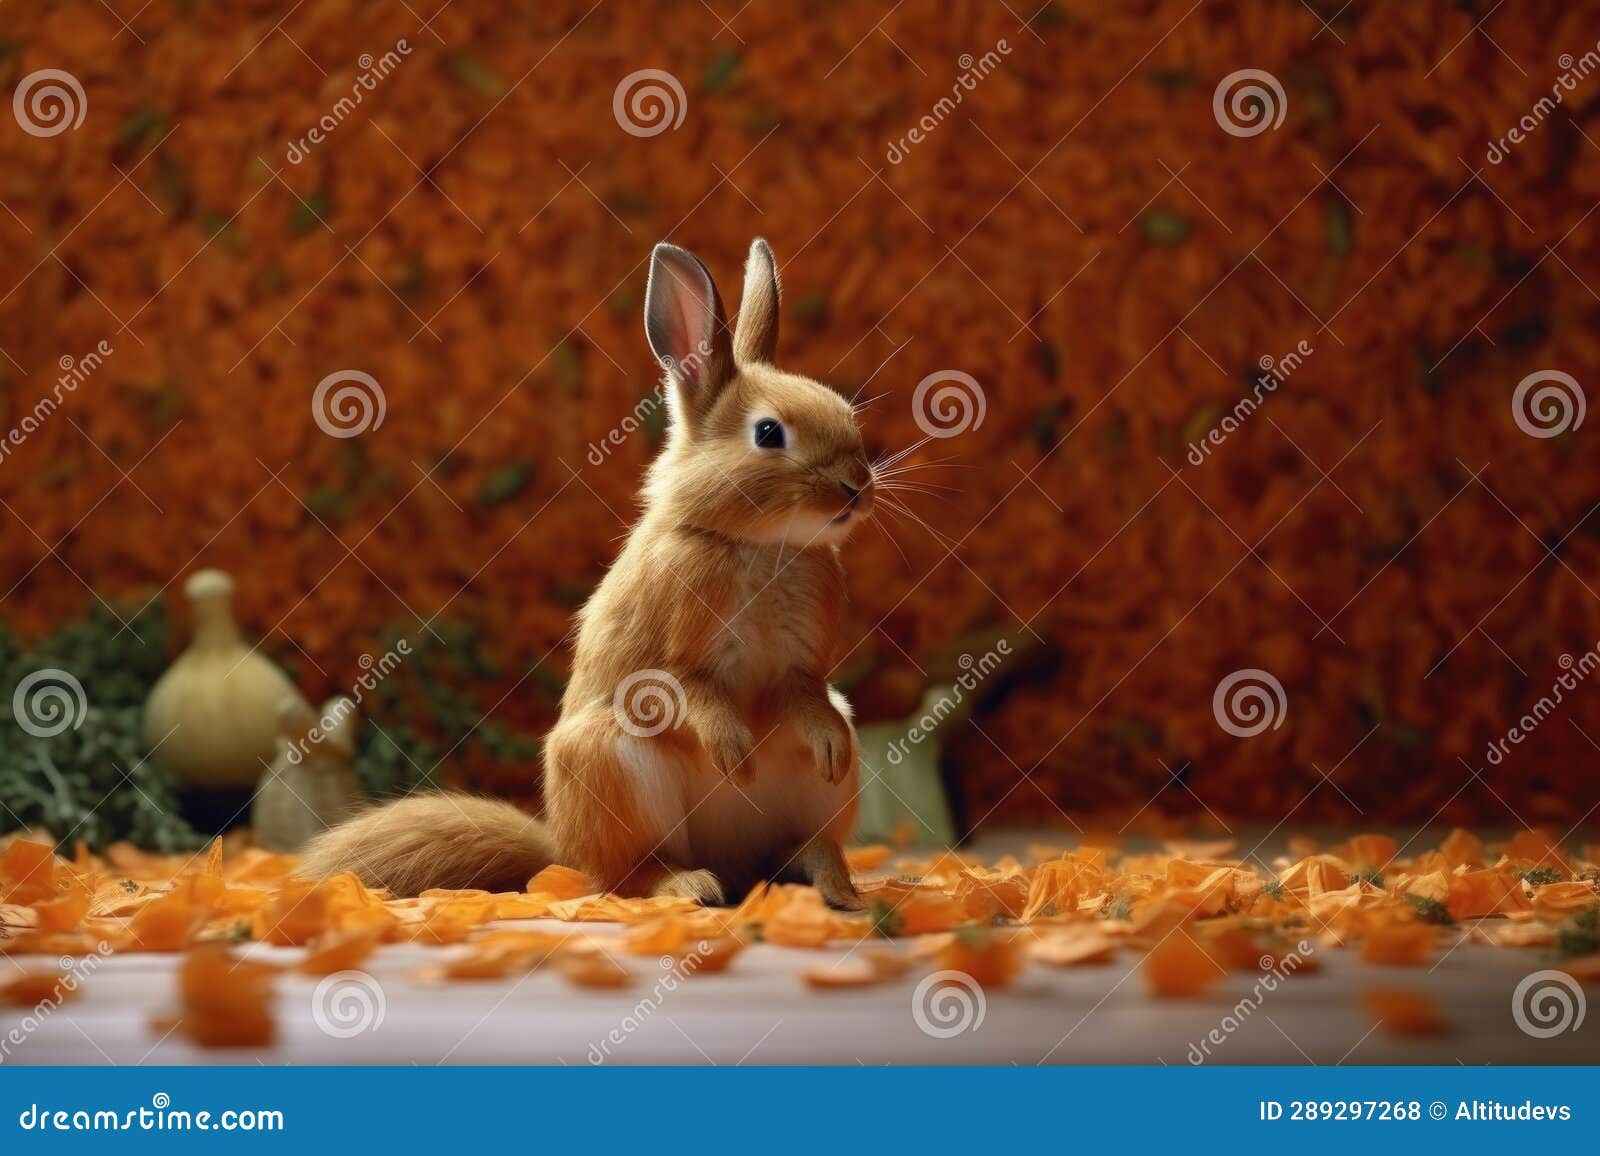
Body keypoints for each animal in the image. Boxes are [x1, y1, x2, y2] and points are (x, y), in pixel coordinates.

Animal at [300, 238, 874, 909]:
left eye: (845, 413)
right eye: (768, 432)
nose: (857, 487)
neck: (760, 547)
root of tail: (560, 849)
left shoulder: (800, 673)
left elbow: (803, 700)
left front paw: (824, 749)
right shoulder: (674, 666)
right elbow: (697, 696)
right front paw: (736, 758)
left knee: (787, 853)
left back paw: (835, 883)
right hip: (612, 760)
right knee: (630, 876)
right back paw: (692, 885)